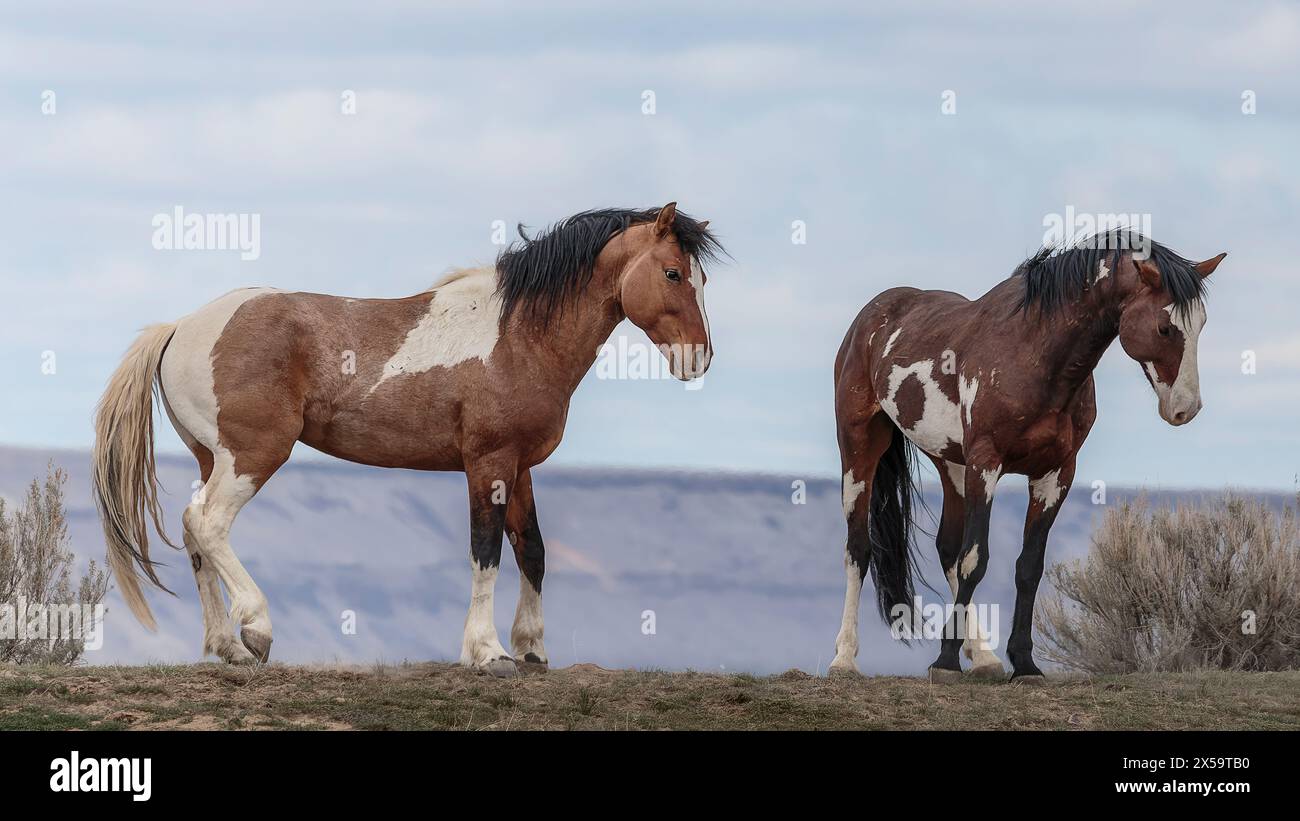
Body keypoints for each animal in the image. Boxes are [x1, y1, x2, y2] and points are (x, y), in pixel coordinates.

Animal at [92, 203, 722, 677]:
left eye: (701, 277)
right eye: (673, 272)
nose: (699, 358)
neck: (518, 335)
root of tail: (180, 327)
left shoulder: (519, 467)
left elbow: (533, 551)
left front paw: (532, 650)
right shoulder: (488, 463)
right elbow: (486, 552)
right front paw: (488, 653)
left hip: (212, 459)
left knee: (194, 532)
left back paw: (227, 647)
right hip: (251, 456)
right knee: (208, 523)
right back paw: (257, 629)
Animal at [829, 231, 1225, 682]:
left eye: (1201, 325)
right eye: (1164, 327)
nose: (1186, 408)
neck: (1034, 353)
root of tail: (872, 316)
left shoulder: (1055, 473)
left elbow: (1027, 567)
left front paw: (1023, 663)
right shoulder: (986, 463)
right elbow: (975, 560)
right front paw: (945, 661)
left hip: (951, 464)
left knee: (946, 548)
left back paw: (983, 656)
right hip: (860, 448)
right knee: (859, 548)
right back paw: (845, 658)